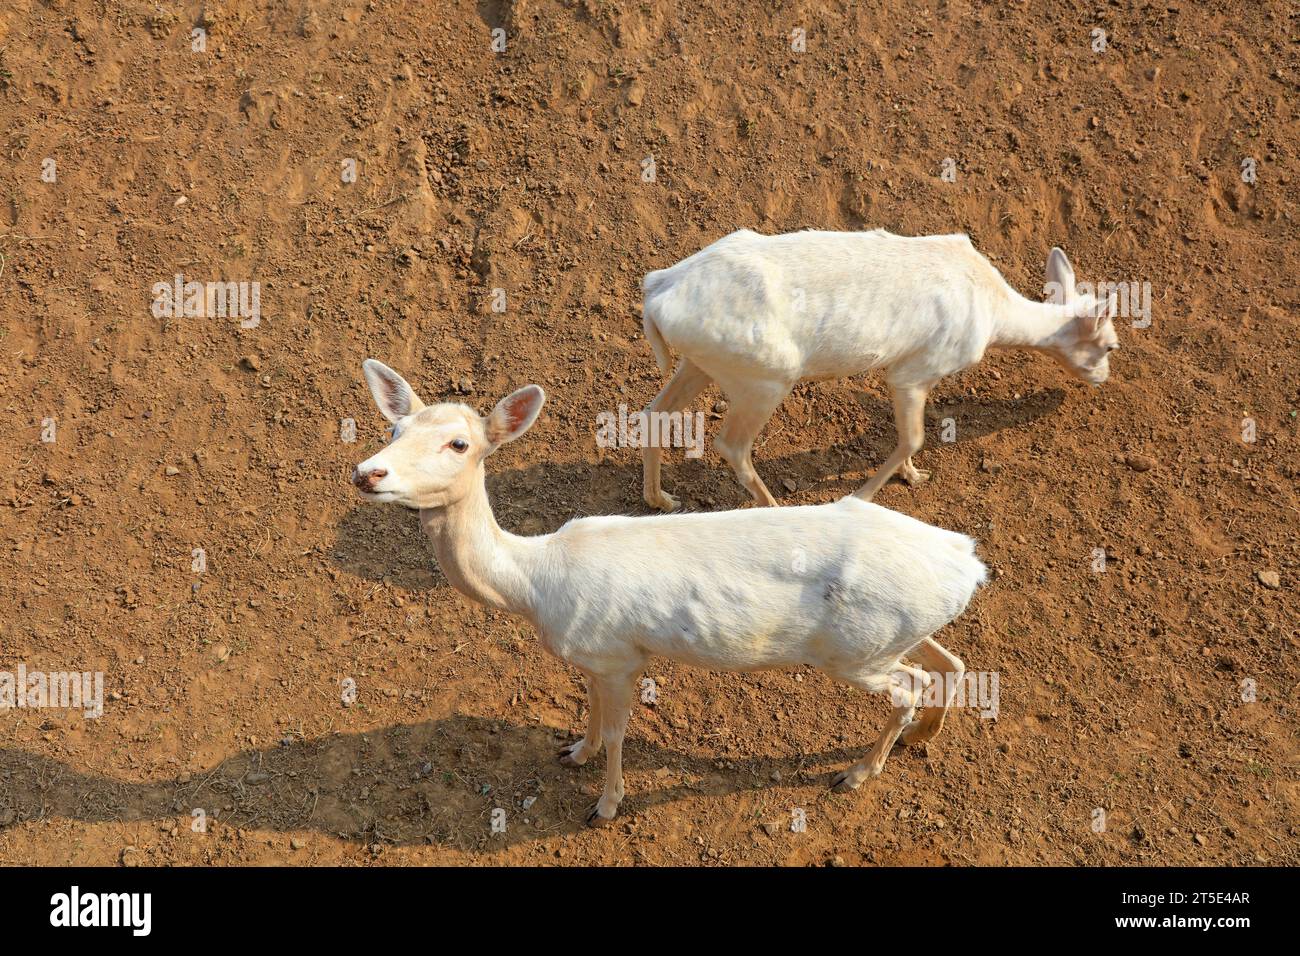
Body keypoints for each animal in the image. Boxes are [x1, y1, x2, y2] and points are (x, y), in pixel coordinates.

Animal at [351, 359, 987, 826]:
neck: (536, 583)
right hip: (893, 635)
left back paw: (855, 773)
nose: (367, 472)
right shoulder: (599, 657)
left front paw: (605, 806)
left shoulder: (619, 656)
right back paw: (922, 736)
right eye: (393, 429)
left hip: (856, 652)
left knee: (911, 684)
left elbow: (617, 731)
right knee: (949, 660)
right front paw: (573, 753)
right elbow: (590, 712)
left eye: (459, 444)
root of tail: (968, 564)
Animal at [640, 229, 1120, 511]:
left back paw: (662, 499)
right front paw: (864, 494)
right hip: (765, 378)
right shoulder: (915, 370)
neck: (995, 311)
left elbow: (910, 437)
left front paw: (914, 474)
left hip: (701, 362)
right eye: (1110, 344)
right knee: (731, 445)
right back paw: (776, 509)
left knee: (655, 412)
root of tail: (657, 289)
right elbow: (914, 436)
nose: (1103, 378)